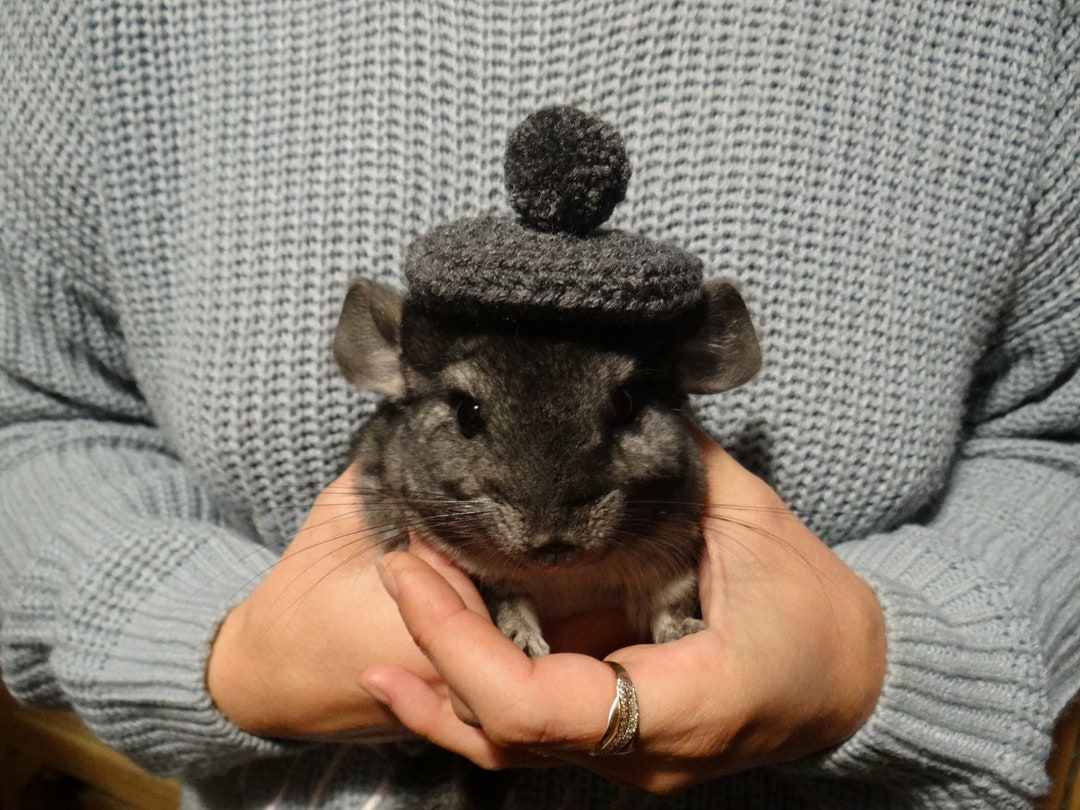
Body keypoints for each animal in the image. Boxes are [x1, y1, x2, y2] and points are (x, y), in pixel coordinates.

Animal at [333, 276, 760, 657]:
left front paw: (685, 632)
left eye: (626, 403)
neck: (566, 578)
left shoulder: (672, 556)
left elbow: (670, 602)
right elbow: (505, 605)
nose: (553, 539)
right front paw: (522, 642)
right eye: (466, 413)